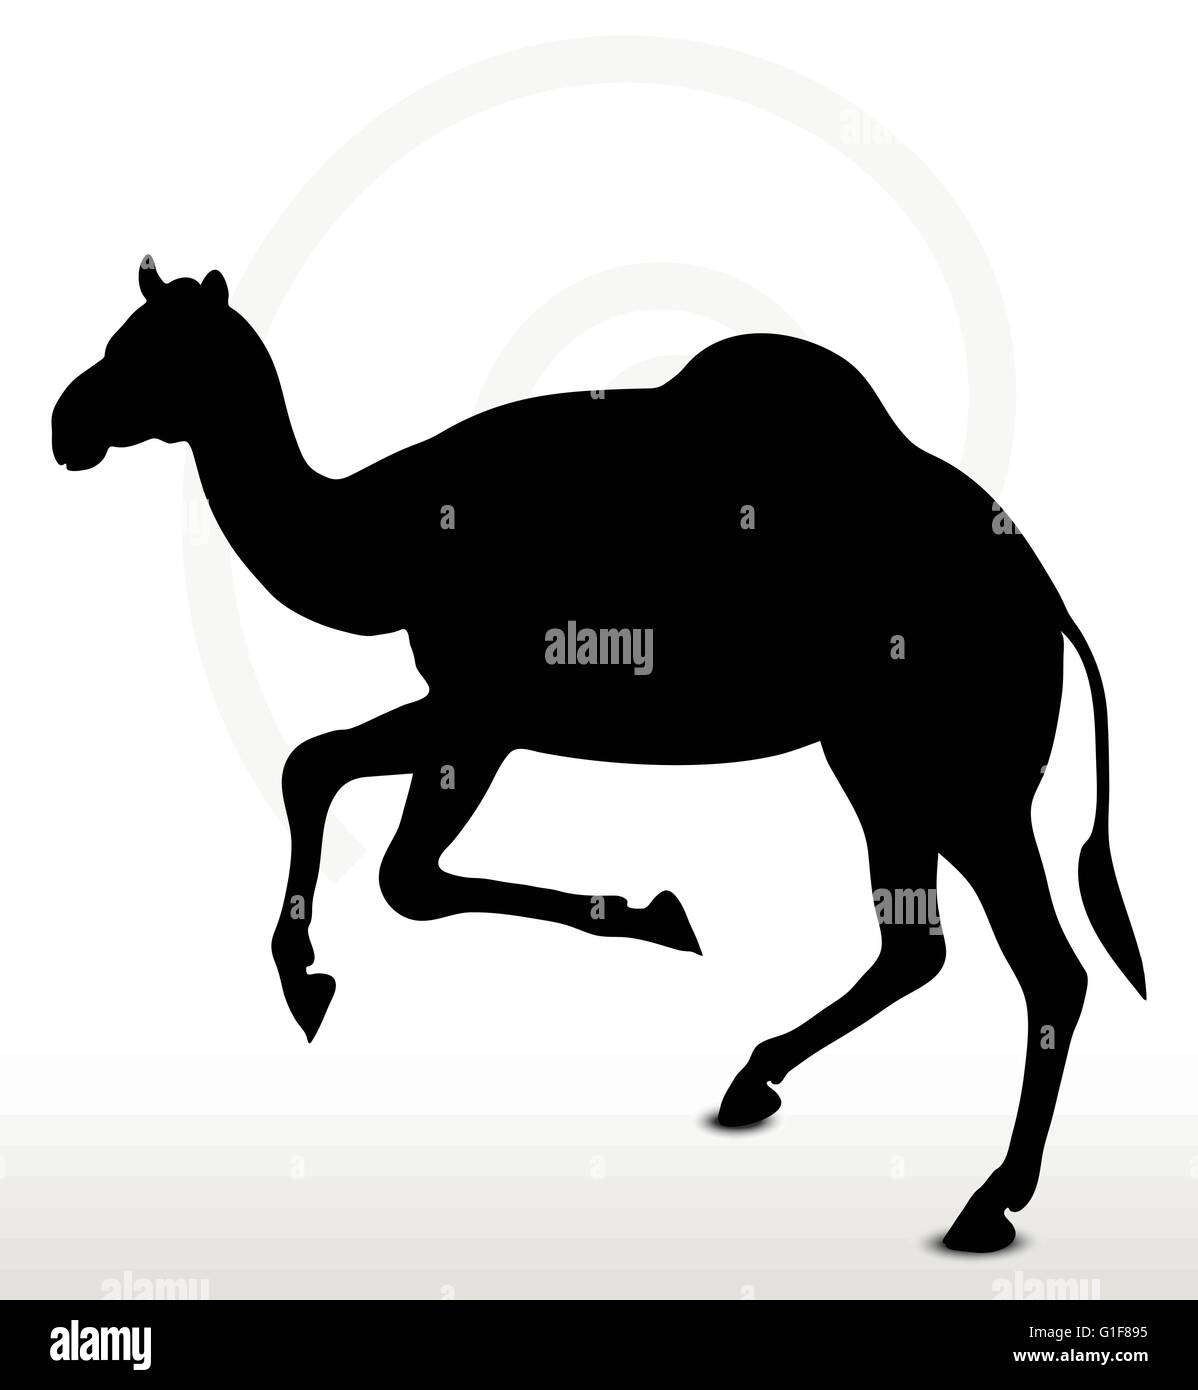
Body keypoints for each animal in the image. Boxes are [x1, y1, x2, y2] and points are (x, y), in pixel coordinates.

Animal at [51, 257, 1145, 1253]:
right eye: (123, 337)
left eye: (156, 352)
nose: (66, 425)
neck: (390, 541)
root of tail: (1049, 602)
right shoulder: (475, 709)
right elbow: (346, 801)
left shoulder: (486, 706)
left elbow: (376, 838)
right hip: (882, 763)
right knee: (917, 945)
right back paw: (756, 1080)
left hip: (961, 777)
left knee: (1048, 970)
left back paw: (987, 1203)